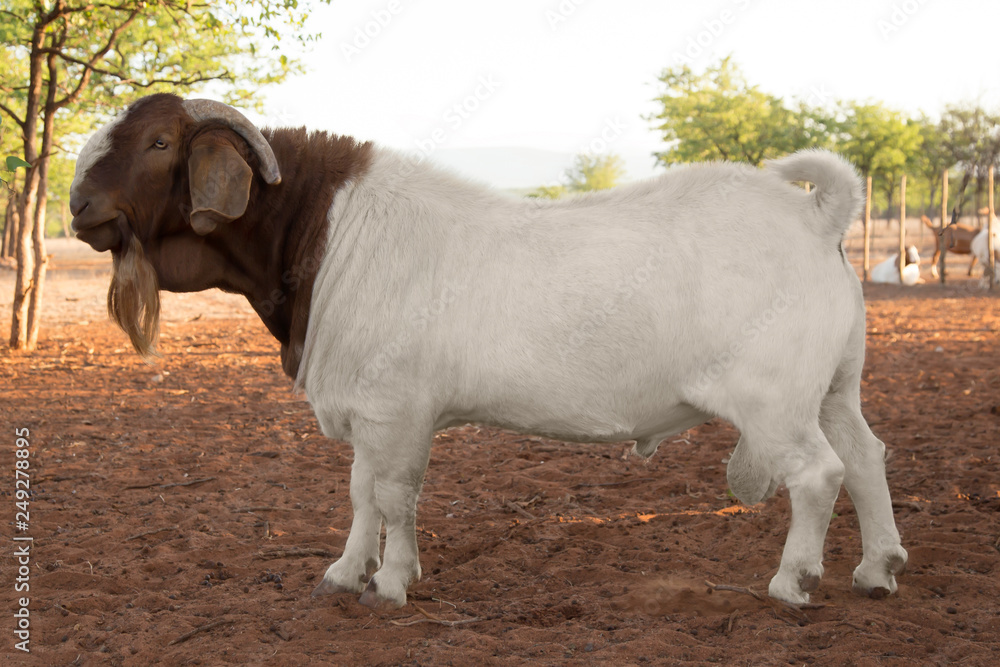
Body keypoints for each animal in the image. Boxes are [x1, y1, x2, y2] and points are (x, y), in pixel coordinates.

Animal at [69, 94, 907, 609]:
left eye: (157, 142)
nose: (78, 206)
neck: (330, 231)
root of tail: (814, 218)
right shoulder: (376, 410)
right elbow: (363, 492)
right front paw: (347, 573)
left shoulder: (397, 407)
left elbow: (392, 494)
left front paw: (392, 583)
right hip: (833, 385)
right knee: (866, 455)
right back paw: (877, 567)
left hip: (772, 401)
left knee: (820, 472)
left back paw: (793, 580)